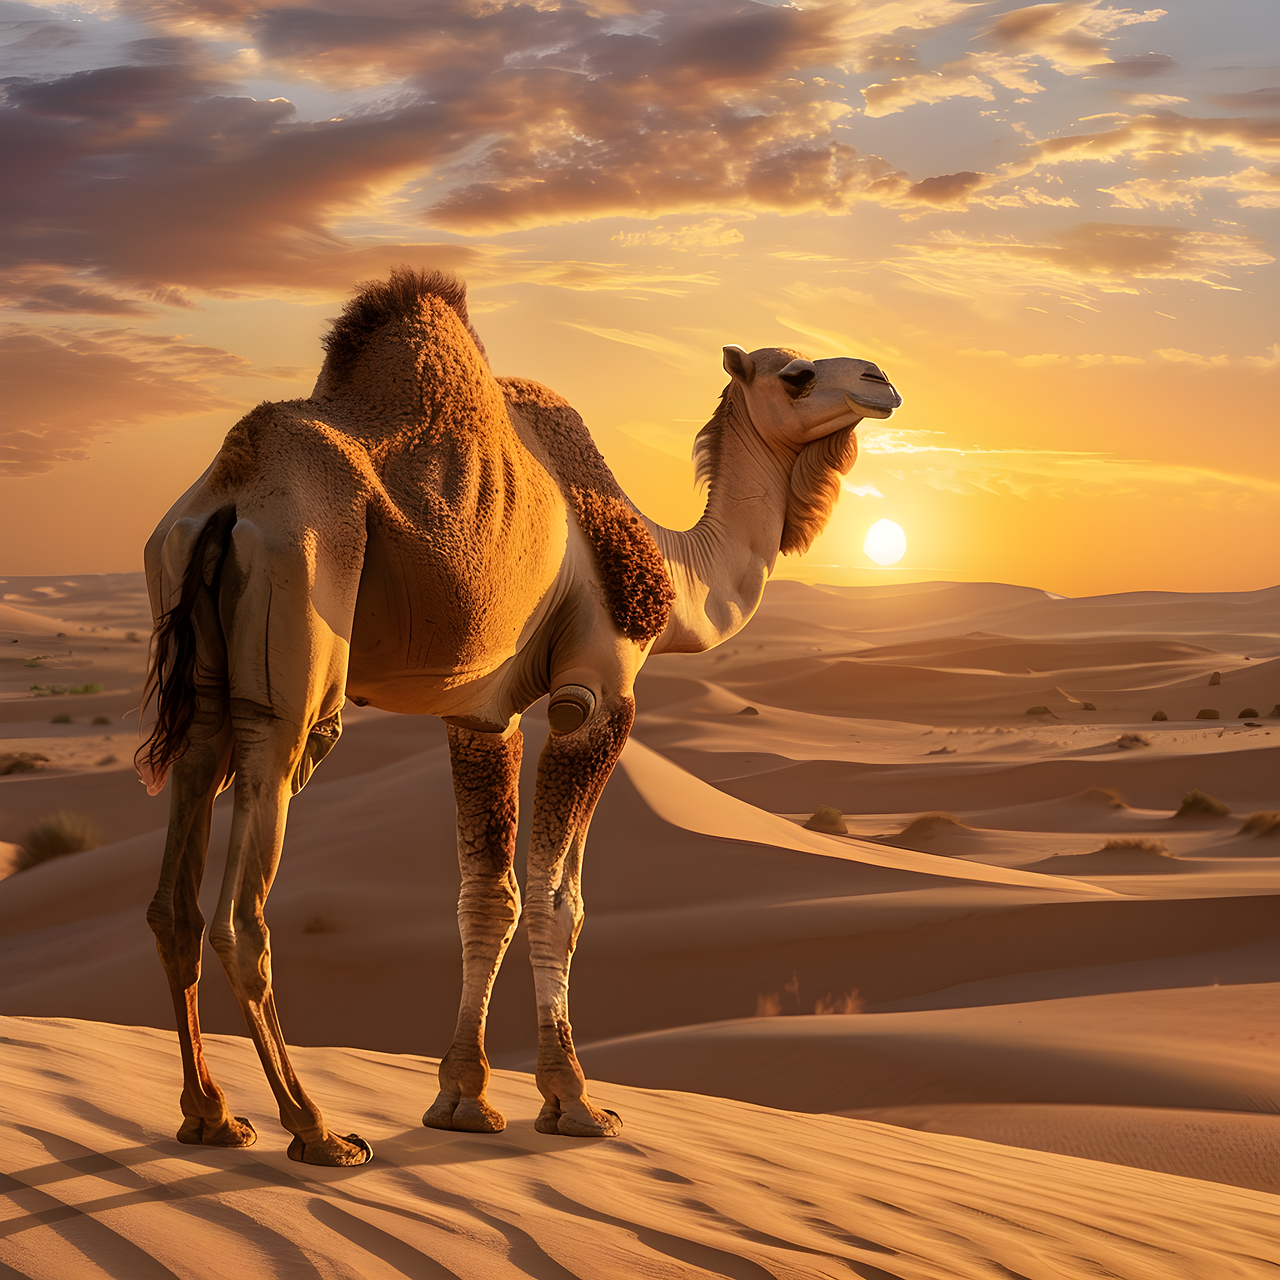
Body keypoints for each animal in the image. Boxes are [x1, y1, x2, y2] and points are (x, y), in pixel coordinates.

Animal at [138, 268, 901, 1166]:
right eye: (797, 375)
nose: (883, 380)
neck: (673, 572)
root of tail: (227, 501)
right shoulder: (596, 694)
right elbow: (557, 904)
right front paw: (574, 1103)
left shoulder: (482, 717)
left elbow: (485, 899)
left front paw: (463, 1100)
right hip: (300, 628)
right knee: (246, 900)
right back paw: (316, 1128)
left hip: (197, 660)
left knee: (177, 883)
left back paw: (211, 1115)